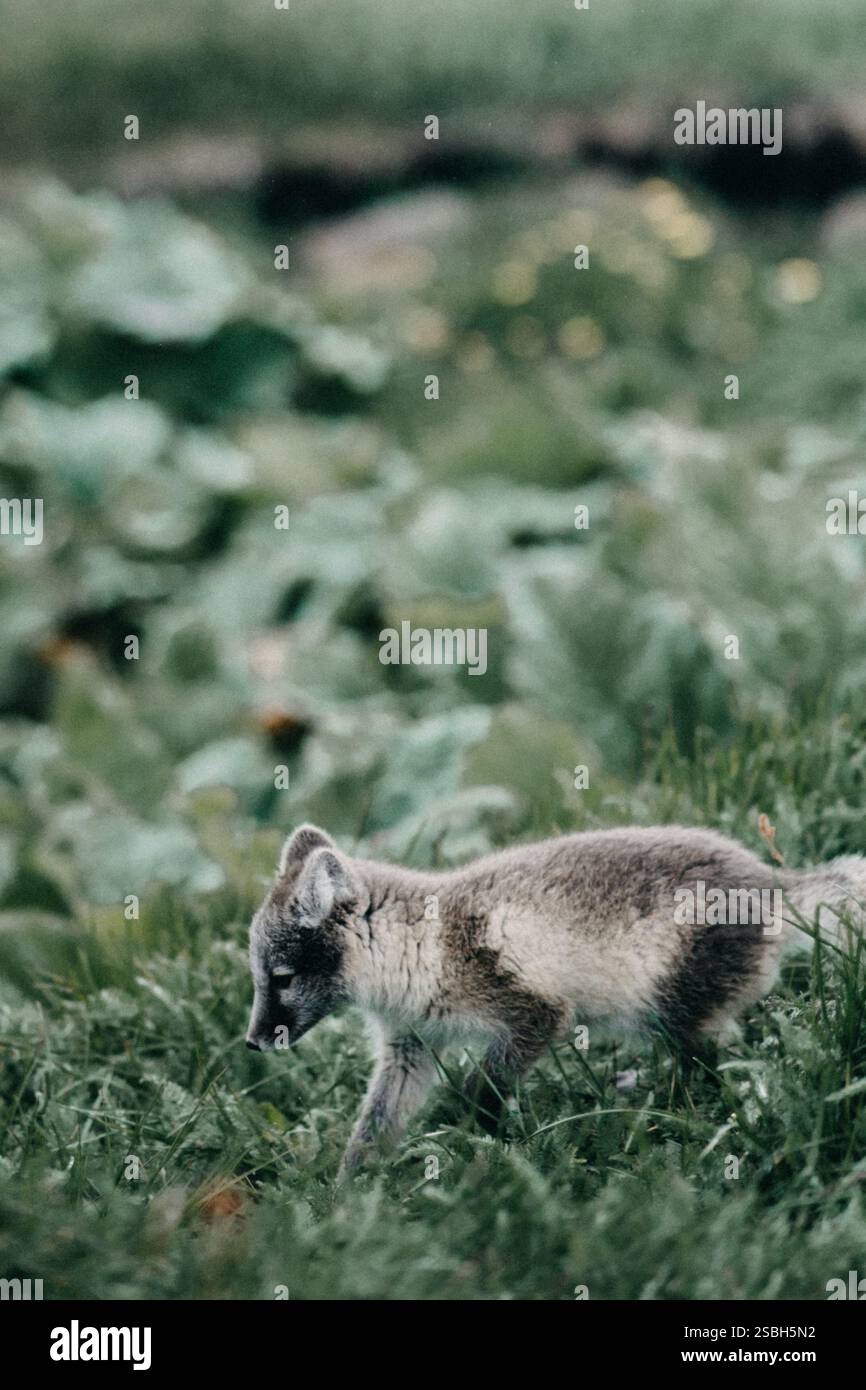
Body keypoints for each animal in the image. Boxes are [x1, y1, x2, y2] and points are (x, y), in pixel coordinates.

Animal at [245, 822, 864, 1175]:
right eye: (257, 975)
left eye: (281, 977)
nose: (252, 1043)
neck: (422, 945)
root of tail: (777, 885)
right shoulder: (411, 1044)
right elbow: (375, 1123)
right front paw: (347, 1193)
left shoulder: (533, 1012)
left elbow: (484, 1086)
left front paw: (475, 1137)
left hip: (676, 1007)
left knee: (711, 1062)